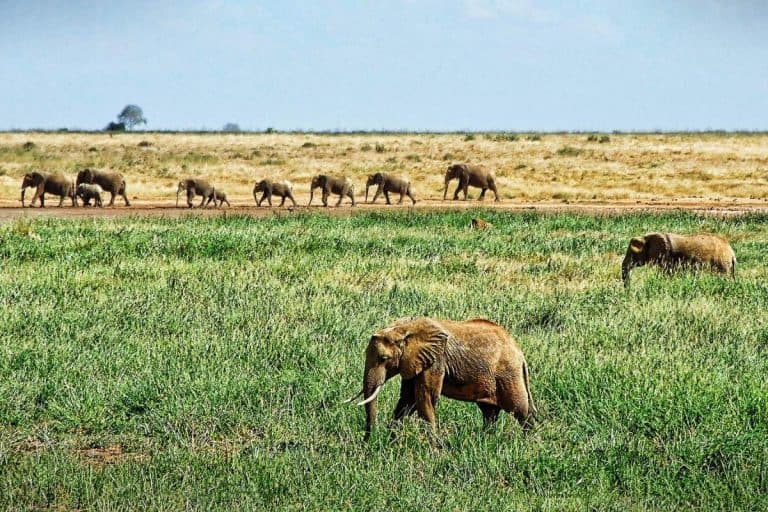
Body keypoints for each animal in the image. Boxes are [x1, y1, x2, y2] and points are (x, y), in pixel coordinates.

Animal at [345, 317, 537, 440]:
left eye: (384, 359)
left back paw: (528, 444)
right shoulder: (413, 361)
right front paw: (391, 441)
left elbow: (425, 398)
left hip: (508, 374)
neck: (405, 328)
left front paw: (433, 449)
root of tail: (520, 354)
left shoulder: (436, 361)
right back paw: (487, 441)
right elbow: (407, 399)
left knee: (520, 411)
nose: (368, 441)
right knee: (489, 413)